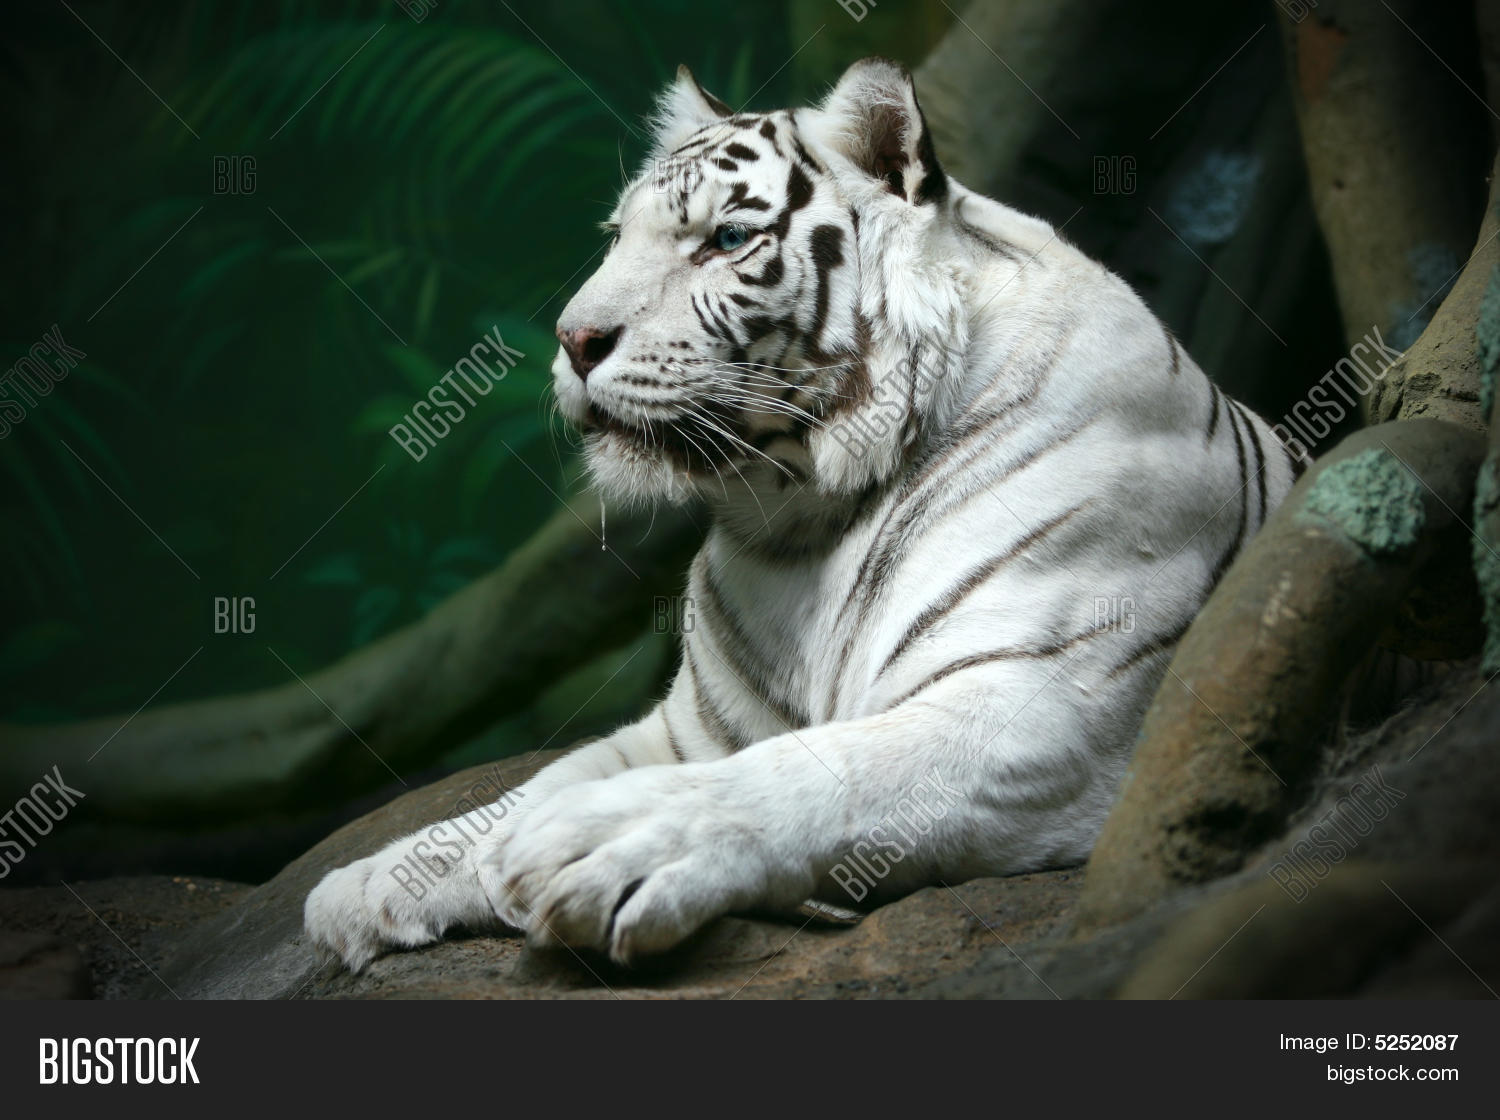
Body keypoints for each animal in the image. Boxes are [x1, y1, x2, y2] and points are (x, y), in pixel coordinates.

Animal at [305, 57, 1305, 970]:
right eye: (617, 236)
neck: (803, 513)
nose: (574, 339)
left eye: (726, 237)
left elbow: (818, 771)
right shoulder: (692, 728)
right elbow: (538, 785)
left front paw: (607, 845)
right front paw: (368, 883)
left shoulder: (1045, 709)